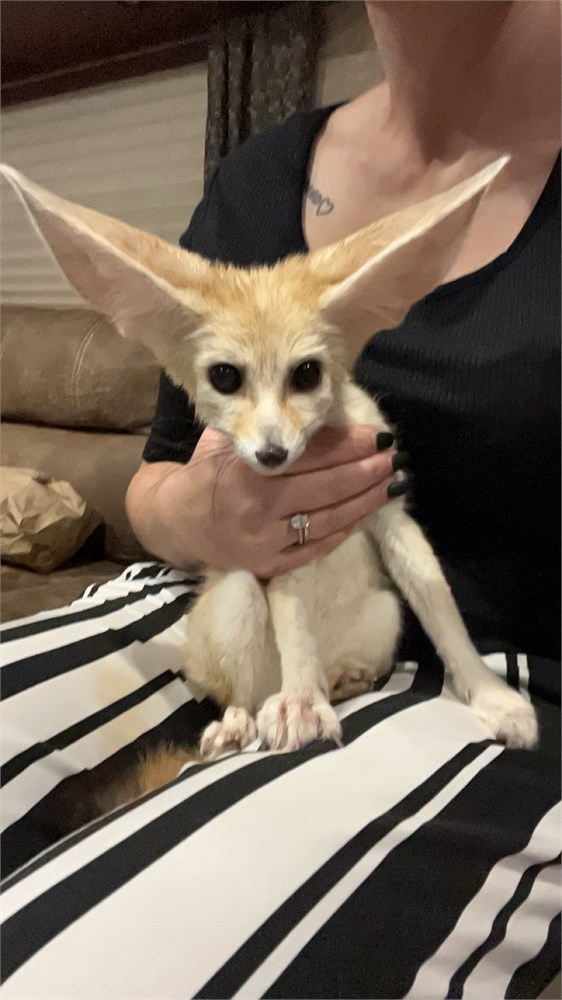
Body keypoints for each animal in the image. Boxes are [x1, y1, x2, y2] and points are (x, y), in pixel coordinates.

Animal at [0, 159, 539, 821]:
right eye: (225, 378)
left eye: (306, 374)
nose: (271, 454)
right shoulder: (280, 537)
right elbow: (292, 618)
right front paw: (303, 704)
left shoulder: (392, 513)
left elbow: (441, 608)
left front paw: (492, 696)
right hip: (234, 597)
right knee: (245, 693)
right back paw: (251, 715)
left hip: (383, 614)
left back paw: (344, 681)